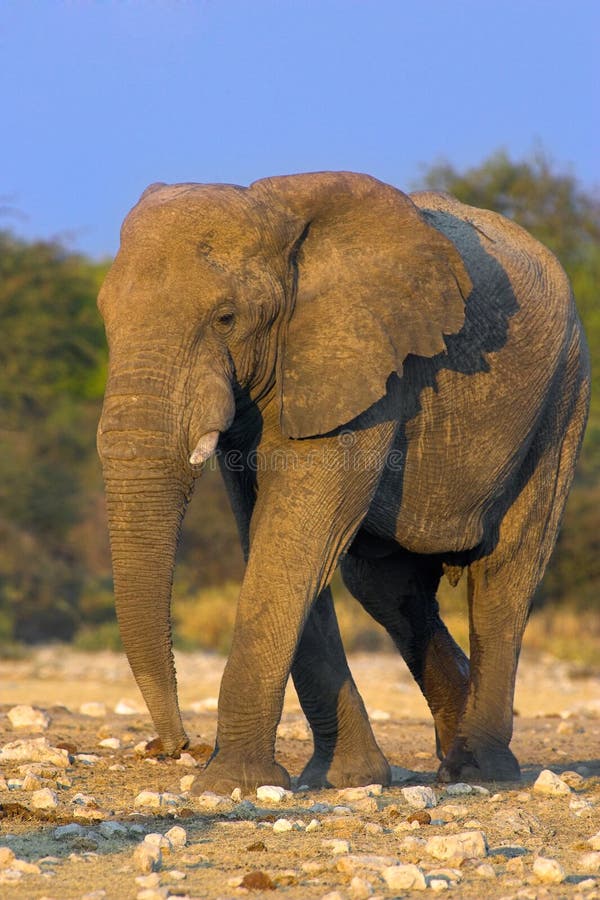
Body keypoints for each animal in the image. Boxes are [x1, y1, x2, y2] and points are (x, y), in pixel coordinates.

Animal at [97, 171, 589, 794]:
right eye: (104, 315)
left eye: (226, 318)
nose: (172, 746)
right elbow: (273, 535)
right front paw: (343, 779)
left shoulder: (367, 368)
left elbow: (297, 536)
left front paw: (229, 784)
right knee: (387, 588)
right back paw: (449, 756)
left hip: (562, 397)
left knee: (506, 572)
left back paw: (481, 771)